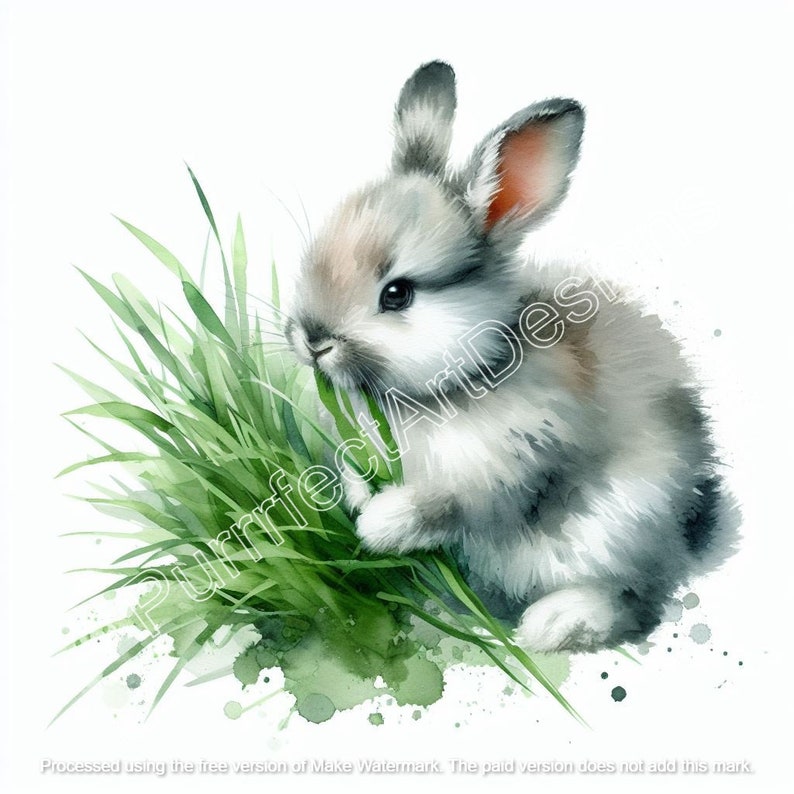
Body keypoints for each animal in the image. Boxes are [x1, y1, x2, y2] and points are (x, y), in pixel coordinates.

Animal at [285, 61, 737, 653]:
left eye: (397, 294)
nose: (313, 339)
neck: (450, 384)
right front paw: (359, 499)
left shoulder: (519, 459)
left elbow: (450, 503)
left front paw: (380, 524)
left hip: (625, 529)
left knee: (638, 597)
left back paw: (555, 624)